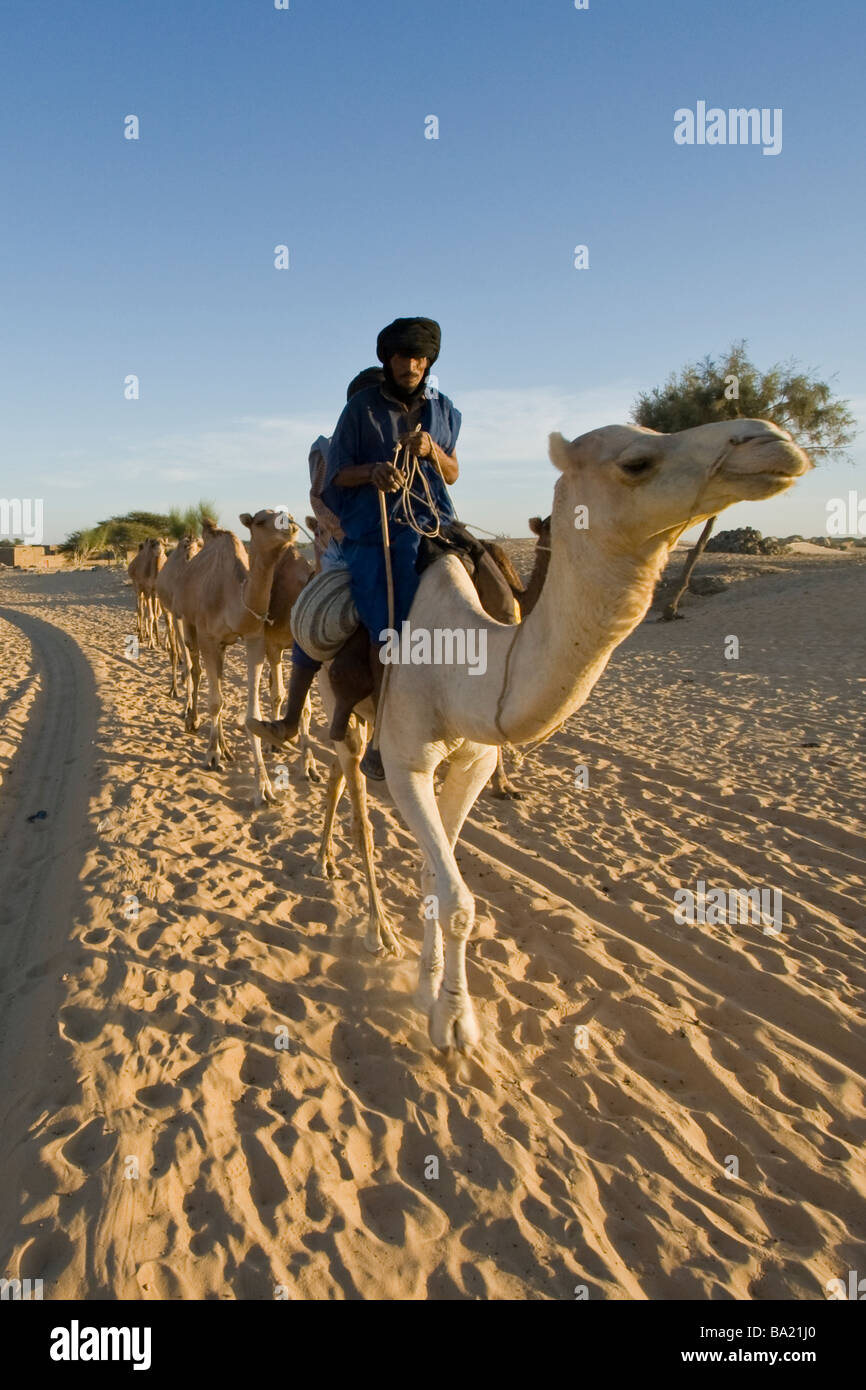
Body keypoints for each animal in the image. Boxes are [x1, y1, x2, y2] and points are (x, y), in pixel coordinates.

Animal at [175, 510, 293, 805]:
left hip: (222, 646)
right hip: (186, 621)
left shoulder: (254, 638)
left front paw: (264, 788)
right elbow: (215, 701)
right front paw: (211, 755)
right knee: (194, 669)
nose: (291, 526)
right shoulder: (208, 636)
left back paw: (226, 747)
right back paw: (192, 720)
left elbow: (251, 712)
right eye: (261, 520)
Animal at [315, 419, 810, 1052]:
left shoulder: (474, 759)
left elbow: (437, 875)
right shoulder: (407, 764)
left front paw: (431, 994)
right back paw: (374, 924)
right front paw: (455, 1022)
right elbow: (456, 896)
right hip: (349, 710)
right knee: (355, 789)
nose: (772, 440)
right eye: (637, 461)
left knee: (339, 775)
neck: (466, 659)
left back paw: (330, 862)